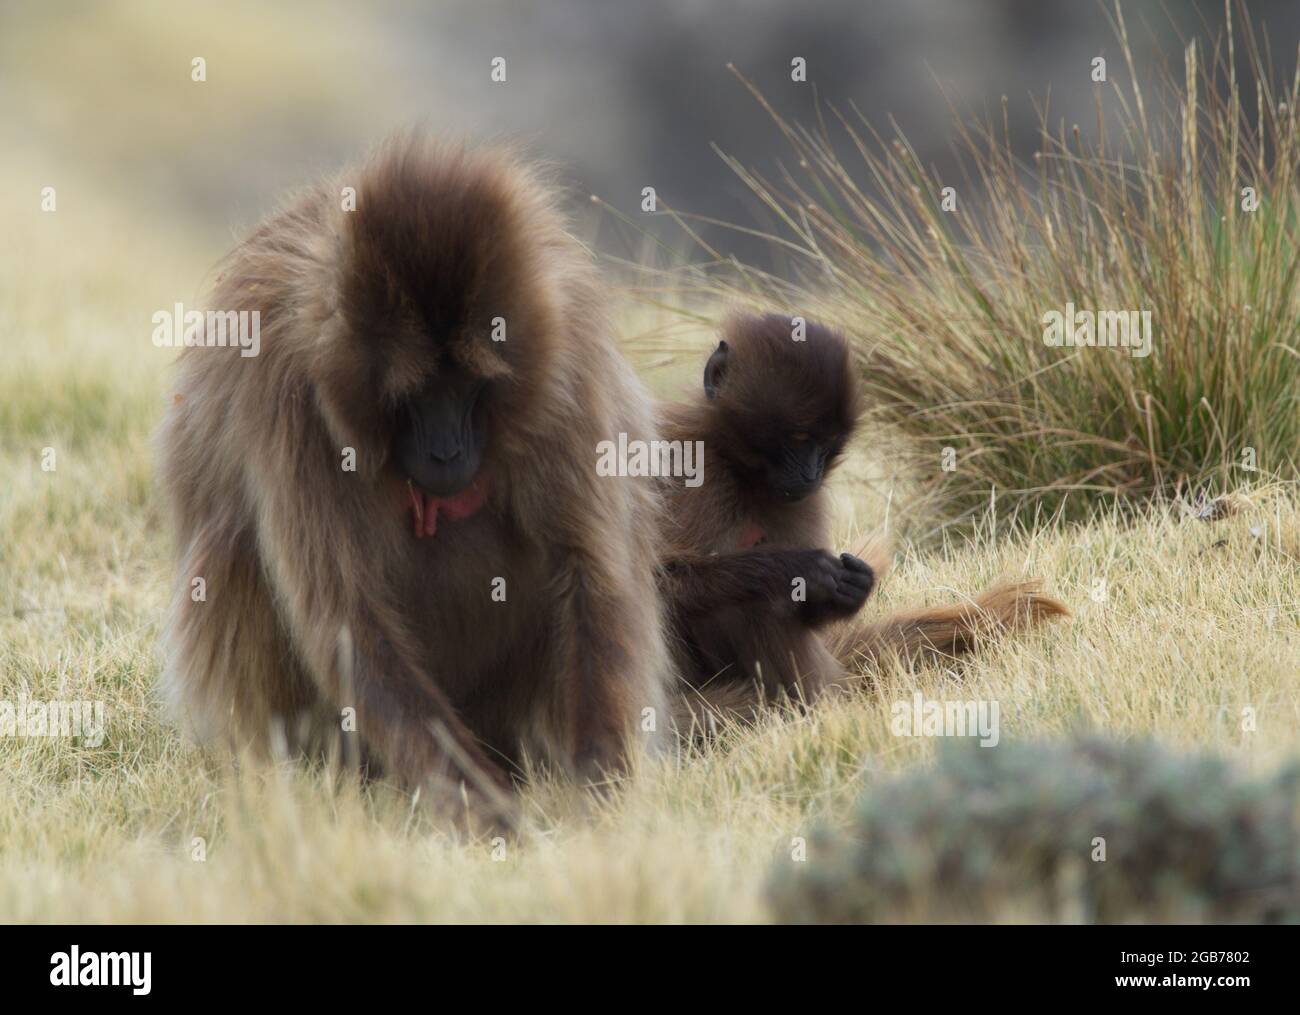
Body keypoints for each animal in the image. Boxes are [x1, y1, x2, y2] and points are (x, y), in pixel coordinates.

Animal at [157, 136, 673, 824]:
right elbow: (348, 617)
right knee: (237, 550)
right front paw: (486, 808)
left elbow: (589, 569)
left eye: (471, 386)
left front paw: (599, 784)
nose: (447, 452)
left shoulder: (567, 359)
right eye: (417, 395)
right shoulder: (285, 394)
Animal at [655, 313, 1068, 729]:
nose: (810, 474)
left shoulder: (803, 500)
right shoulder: (684, 463)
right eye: (798, 437)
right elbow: (663, 581)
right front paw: (793, 570)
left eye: (825, 444)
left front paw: (854, 586)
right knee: (745, 599)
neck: (737, 470)